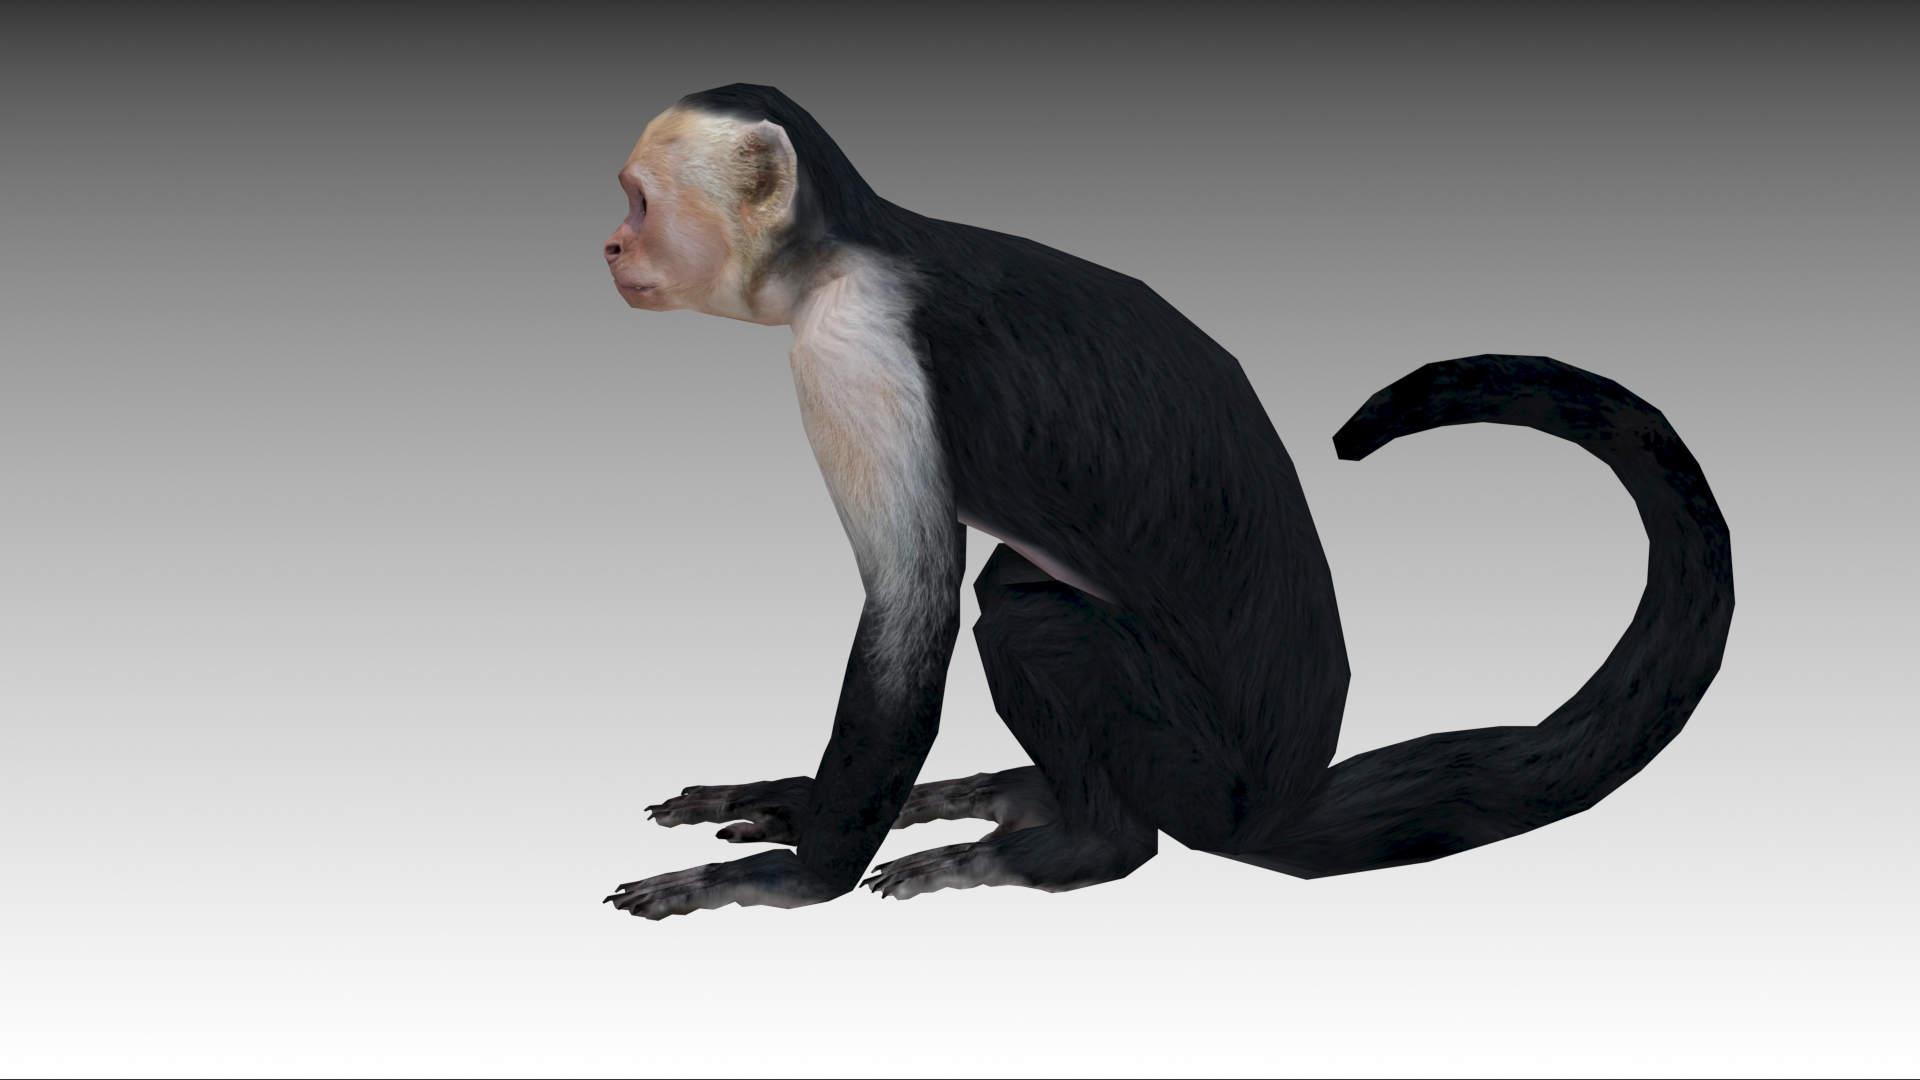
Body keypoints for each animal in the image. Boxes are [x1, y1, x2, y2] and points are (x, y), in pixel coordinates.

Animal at [599, 85, 1734, 920]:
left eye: (639, 204)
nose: (609, 247)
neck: (844, 254)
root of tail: (1279, 797)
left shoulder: (855, 355)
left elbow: (911, 615)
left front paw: (797, 876)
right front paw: (794, 806)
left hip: (1198, 773)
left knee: (1036, 624)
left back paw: (1080, 845)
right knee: (1023, 589)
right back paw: (1021, 796)